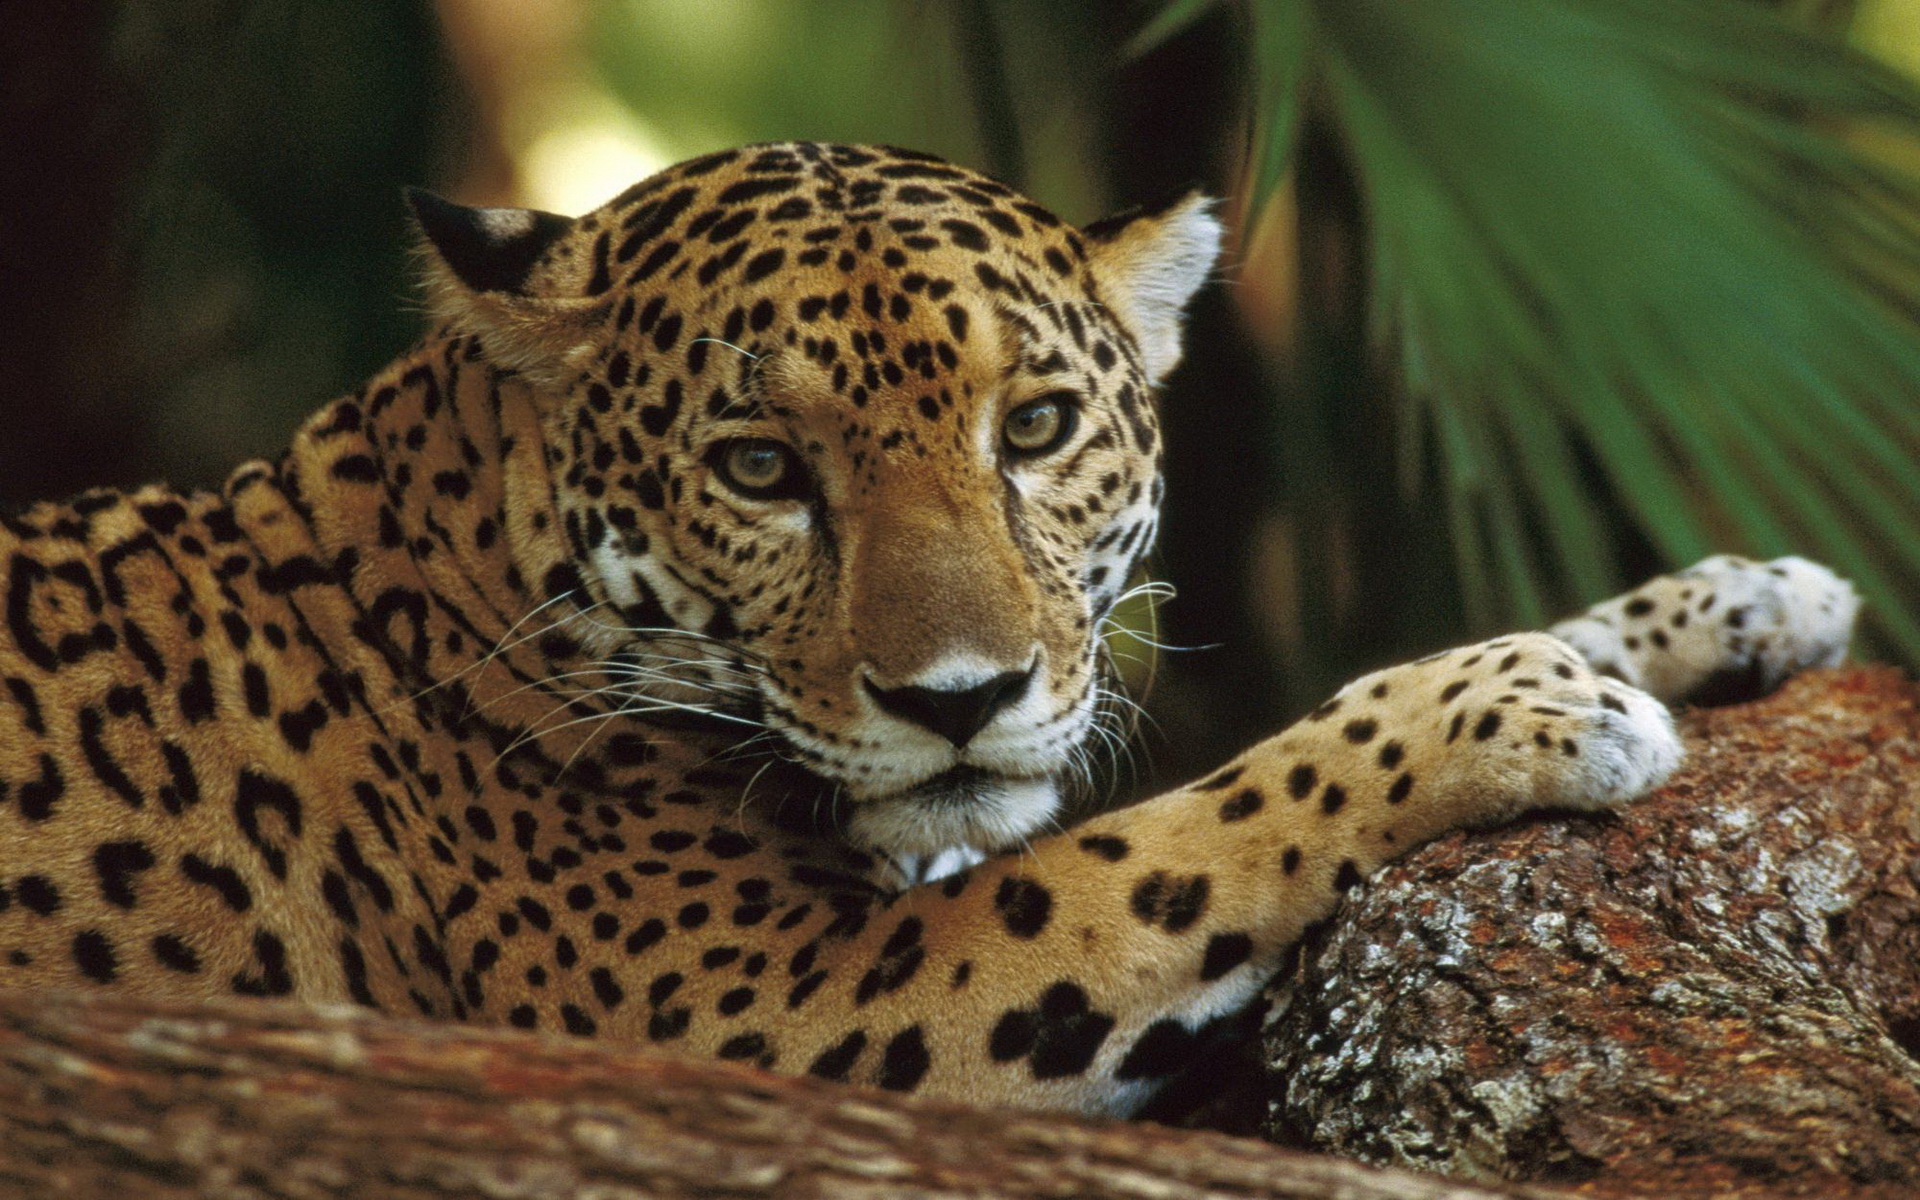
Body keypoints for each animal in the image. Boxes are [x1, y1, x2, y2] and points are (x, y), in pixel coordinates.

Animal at [0, 141, 1860, 1115]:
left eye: (1032, 429)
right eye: (759, 468)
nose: (960, 698)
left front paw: (1733, 601)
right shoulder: (766, 1011)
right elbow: (1209, 824)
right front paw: (1510, 708)